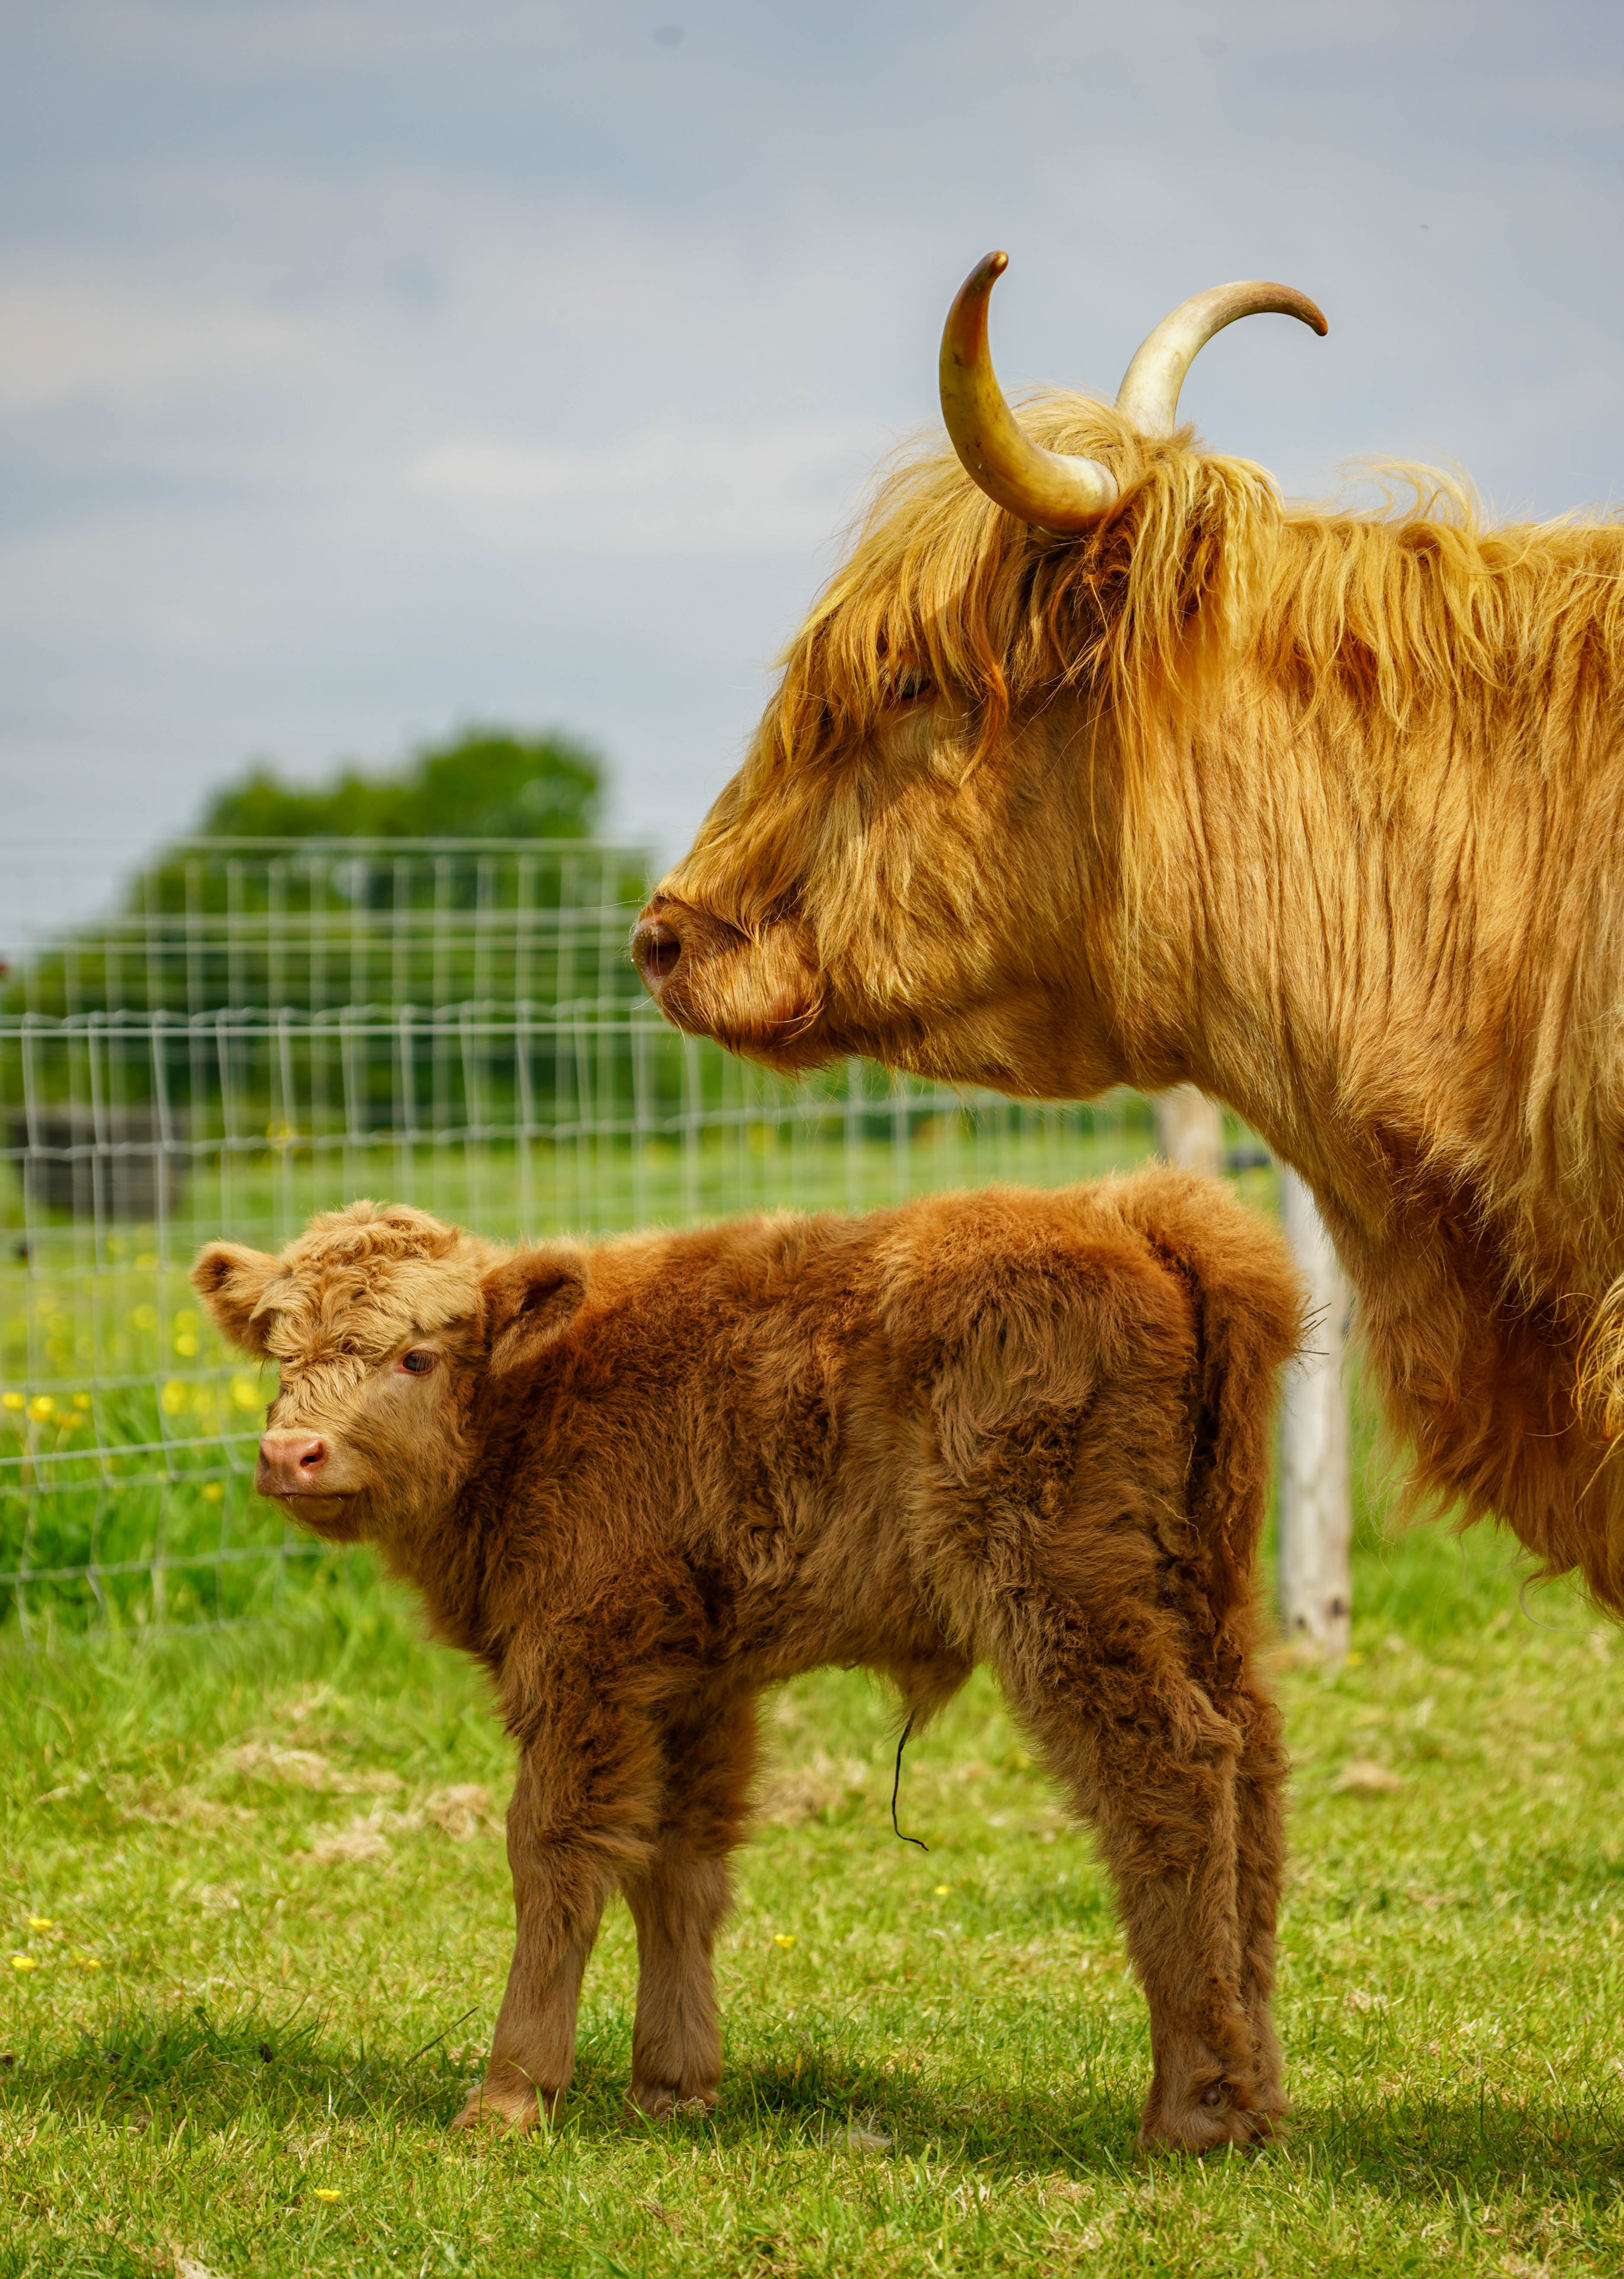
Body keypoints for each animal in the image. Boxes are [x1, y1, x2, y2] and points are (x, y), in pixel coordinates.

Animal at [192, 1179, 1300, 2150]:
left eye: (417, 1356)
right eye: (278, 1351)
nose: (292, 1453)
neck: (539, 1398)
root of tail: (1122, 1210)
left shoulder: (584, 1664)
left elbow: (555, 1857)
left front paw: (511, 2095)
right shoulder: (693, 1685)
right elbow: (679, 1866)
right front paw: (672, 2086)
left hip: (1066, 1596)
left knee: (1166, 1777)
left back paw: (1190, 2108)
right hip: (1205, 1597)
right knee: (1251, 1774)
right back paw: (1255, 2092)